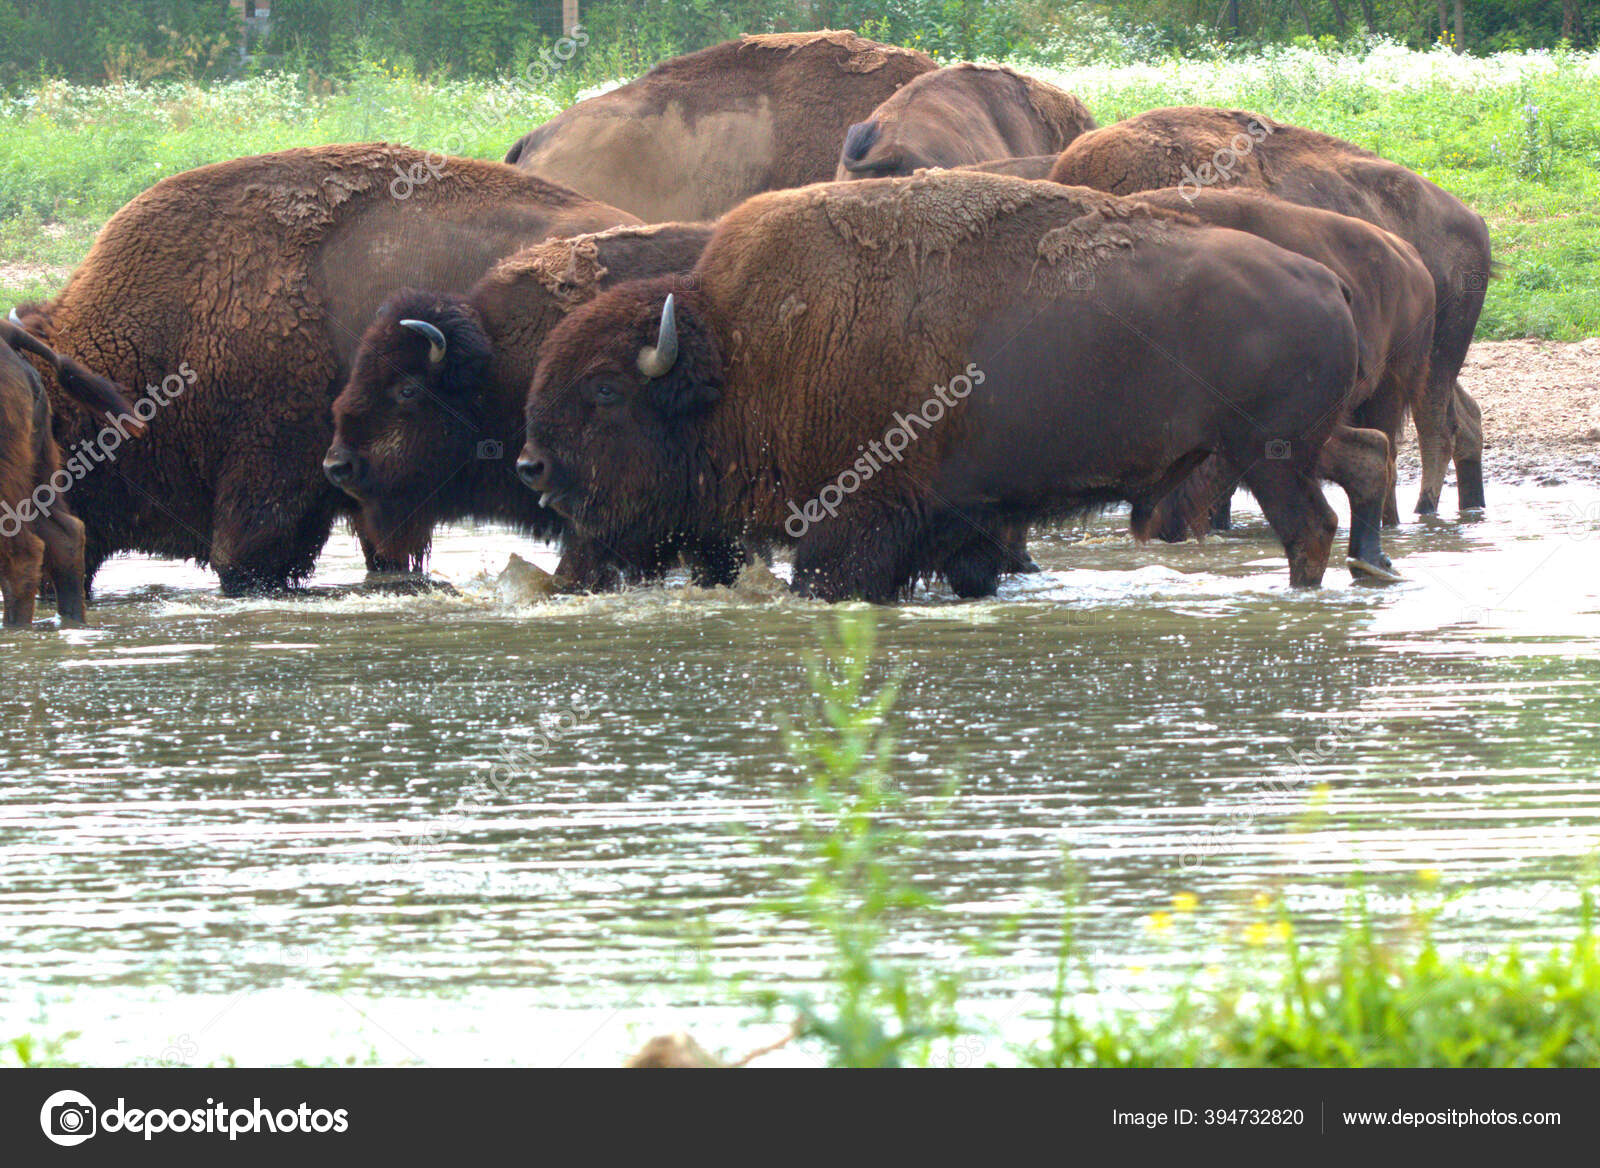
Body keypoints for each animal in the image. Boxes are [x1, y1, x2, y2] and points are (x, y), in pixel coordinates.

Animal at [520, 172, 1362, 603]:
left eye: (604, 392)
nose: (533, 465)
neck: (739, 352)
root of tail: (1326, 280)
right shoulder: (966, 521)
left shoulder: (854, 523)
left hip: (1270, 454)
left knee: (1310, 527)